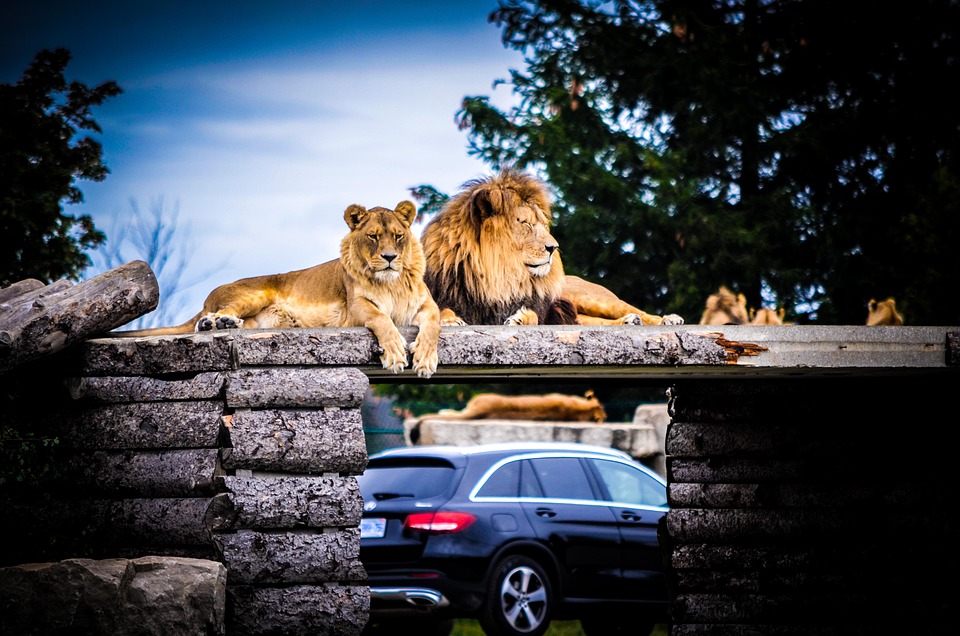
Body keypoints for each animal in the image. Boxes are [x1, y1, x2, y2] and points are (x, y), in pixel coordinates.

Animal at [116, 201, 441, 378]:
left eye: (397, 236)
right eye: (373, 237)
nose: (390, 257)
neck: (392, 283)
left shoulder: (426, 306)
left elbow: (434, 324)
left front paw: (425, 359)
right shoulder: (355, 308)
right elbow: (382, 320)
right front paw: (396, 355)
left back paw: (223, 324)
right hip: (254, 293)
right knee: (213, 314)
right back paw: (213, 323)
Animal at [420, 168, 683, 326]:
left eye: (543, 224)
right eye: (525, 223)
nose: (553, 247)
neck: (497, 278)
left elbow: (534, 316)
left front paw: (520, 318)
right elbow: (440, 309)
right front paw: (450, 320)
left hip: (591, 297)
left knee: (634, 310)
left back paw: (667, 319)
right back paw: (630, 321)